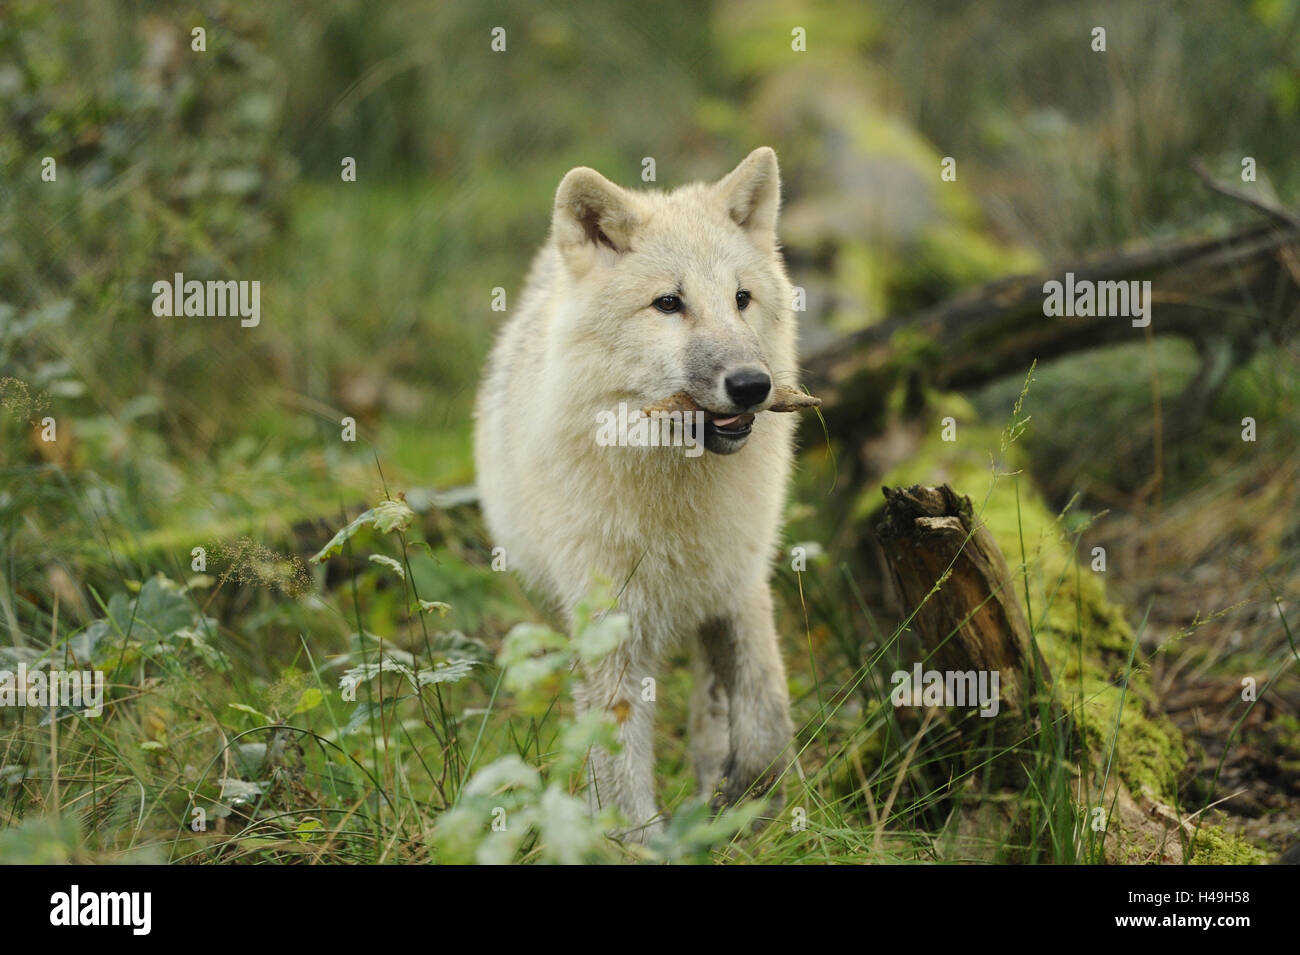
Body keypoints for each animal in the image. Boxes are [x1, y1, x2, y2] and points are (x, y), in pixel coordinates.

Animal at [474, 148, 799, 839]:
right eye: (668, 303)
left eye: (742, 299)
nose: (752, 385)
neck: (677, 501)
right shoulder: (609, 628)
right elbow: (617, 762)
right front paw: (640, 841)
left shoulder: (741, 585)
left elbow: (766, 717)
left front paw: (746, 801)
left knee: (712, 707)